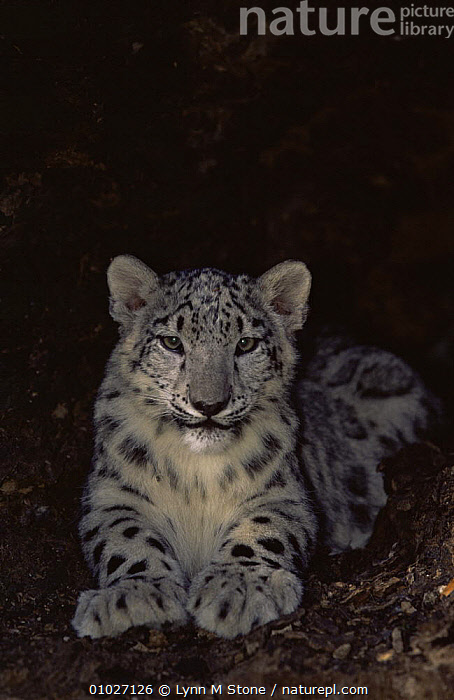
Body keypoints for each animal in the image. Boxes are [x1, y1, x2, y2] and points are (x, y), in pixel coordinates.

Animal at [72, 255, 440, 639]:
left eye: (246, 344)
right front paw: (134, 596)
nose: (209, 404)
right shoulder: (112, 497)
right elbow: (126, 538)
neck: (196, 474)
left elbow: (262, 528)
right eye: (172, 342)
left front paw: (241, 588)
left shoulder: (285, 495)